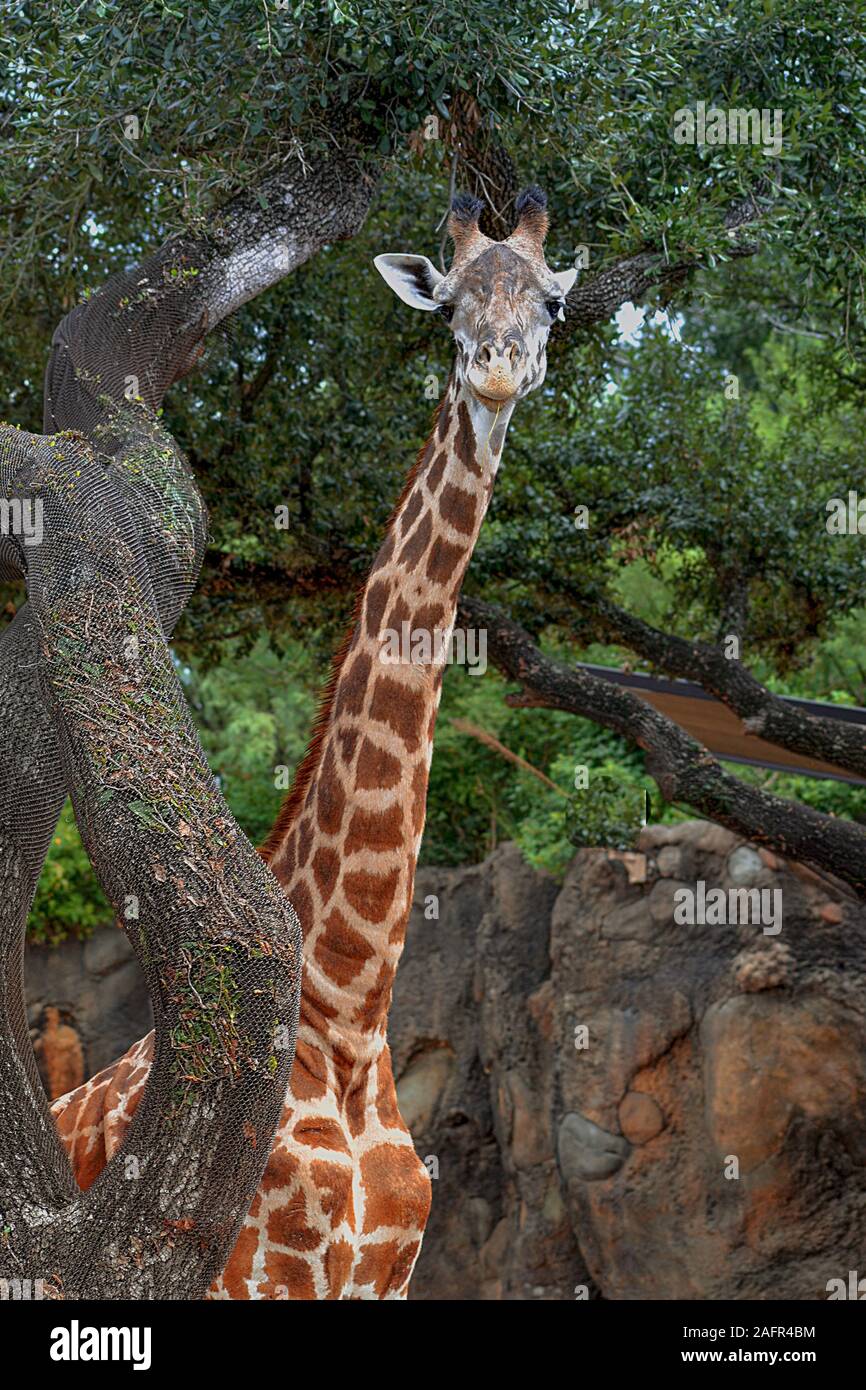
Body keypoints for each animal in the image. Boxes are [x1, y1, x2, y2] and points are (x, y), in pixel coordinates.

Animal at [50, 187, 577, 1299]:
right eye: (448, 304)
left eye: (551, 302)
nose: (496, 365)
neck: (349, 1013)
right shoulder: (262, 1271)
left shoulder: (385, 1275)